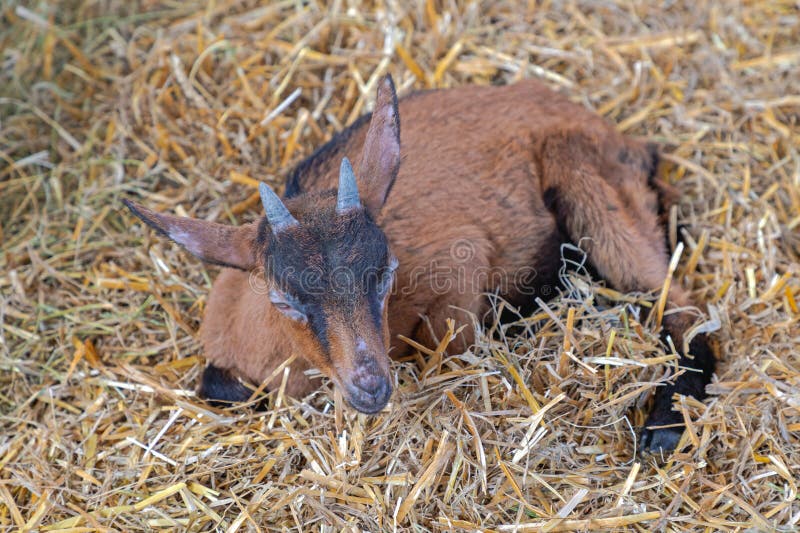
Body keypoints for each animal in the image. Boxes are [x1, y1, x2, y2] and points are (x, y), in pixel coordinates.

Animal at [124, 75, 716, 453]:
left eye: (386, 273)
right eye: (283, 299)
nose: (370, 385)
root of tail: (630, 141)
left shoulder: (461, 268)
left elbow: (450, 352)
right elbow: (220, 388)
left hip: (590, 181)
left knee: (679, 305)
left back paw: (663, 429)